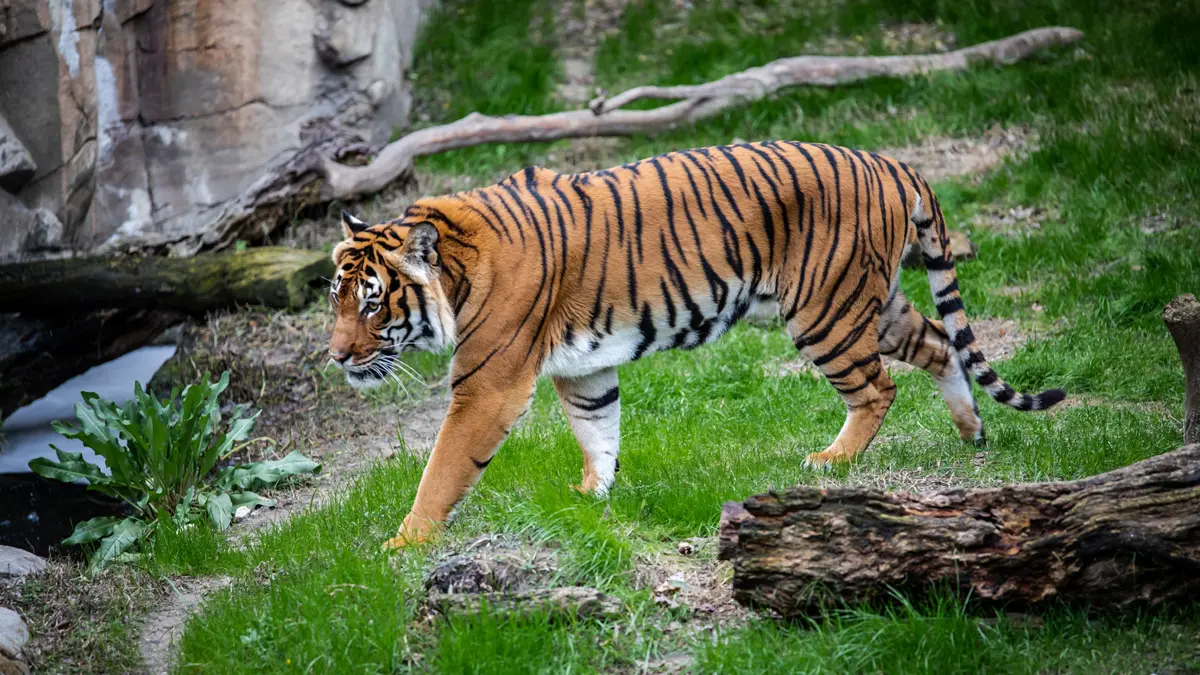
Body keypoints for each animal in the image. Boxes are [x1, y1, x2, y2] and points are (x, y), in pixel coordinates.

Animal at [326, 141, 1065, 549]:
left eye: (372, 301)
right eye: (334, 296)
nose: (335, 356)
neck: (454, 270)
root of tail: (889, 160)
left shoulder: (488, 384)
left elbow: (443, 469)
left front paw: (403, 543)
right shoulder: (582, 369)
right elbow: (598, 430)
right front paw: (592, 495)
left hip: (823, 310)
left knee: (878, 386)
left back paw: (833, 459)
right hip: (872, 301)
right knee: (940, 342)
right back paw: (971, 433)